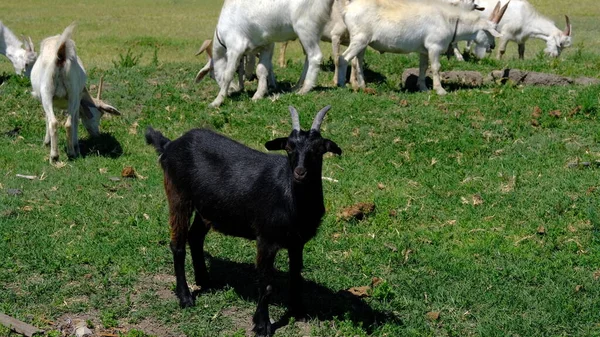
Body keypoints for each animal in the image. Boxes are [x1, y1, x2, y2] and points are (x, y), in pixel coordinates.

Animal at [30, 23, 119, 162]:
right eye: (99, 114)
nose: (97, 134)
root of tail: (60, 55)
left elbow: (50, 119)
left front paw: (47, 142)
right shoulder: (77, 100)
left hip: (50, 93)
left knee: (56, 122)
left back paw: (57, 155)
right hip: (71, 94)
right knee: (66, 123)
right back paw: (69, 153)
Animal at [145, 105, 342, 336]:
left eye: (319, 149)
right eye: (289, 147)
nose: (300, 172)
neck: (291, 199)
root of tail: (170, 145)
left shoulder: (297, 241)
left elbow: (296, 275)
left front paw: (298, 309)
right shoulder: (266, 239)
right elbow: (266, 283)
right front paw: (262, 324)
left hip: (207, 208)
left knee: (195, 237)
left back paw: (204, 280)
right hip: (178, 195)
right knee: (178, 245)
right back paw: (185, 297)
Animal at [338, 0, 506, 94]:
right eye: (491, 31)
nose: (492, 46)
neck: (450, 20)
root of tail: (347, 9)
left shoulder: (425, 50)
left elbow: (423, 67)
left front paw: (423, 88)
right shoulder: (434, 46)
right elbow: (436, 67)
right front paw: (440, 90)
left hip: (364, 41)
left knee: (358, 60)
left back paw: (362, 85)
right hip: (359, 38)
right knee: (343, 58)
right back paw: (341, 85)